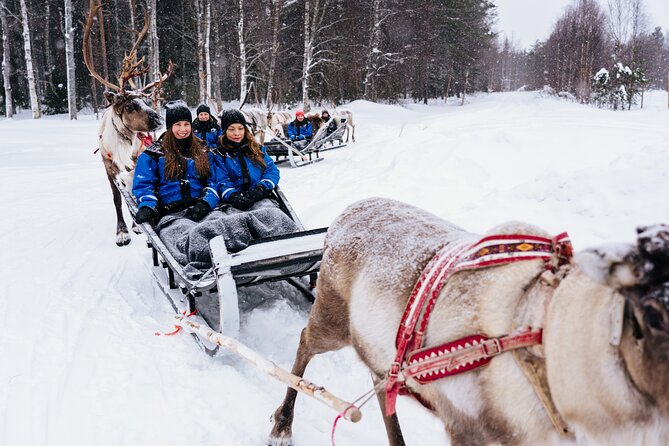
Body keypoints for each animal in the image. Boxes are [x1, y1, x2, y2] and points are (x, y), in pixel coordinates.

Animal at [84, 4, 173, 246]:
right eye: (131, 105)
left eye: (146, 100)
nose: (158, 119)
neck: (122, 144)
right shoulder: (109, 167)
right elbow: (117, 198)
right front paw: (122, 232)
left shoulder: (137, 160)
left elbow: (134, 192)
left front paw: (134, 226)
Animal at [269, 197, 669, 446]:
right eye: (652, 314)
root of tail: (342, 216)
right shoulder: (469, 430)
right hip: (332, 320)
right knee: (304, 341)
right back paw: (281, 425)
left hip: (381, 352)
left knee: (381, 385)